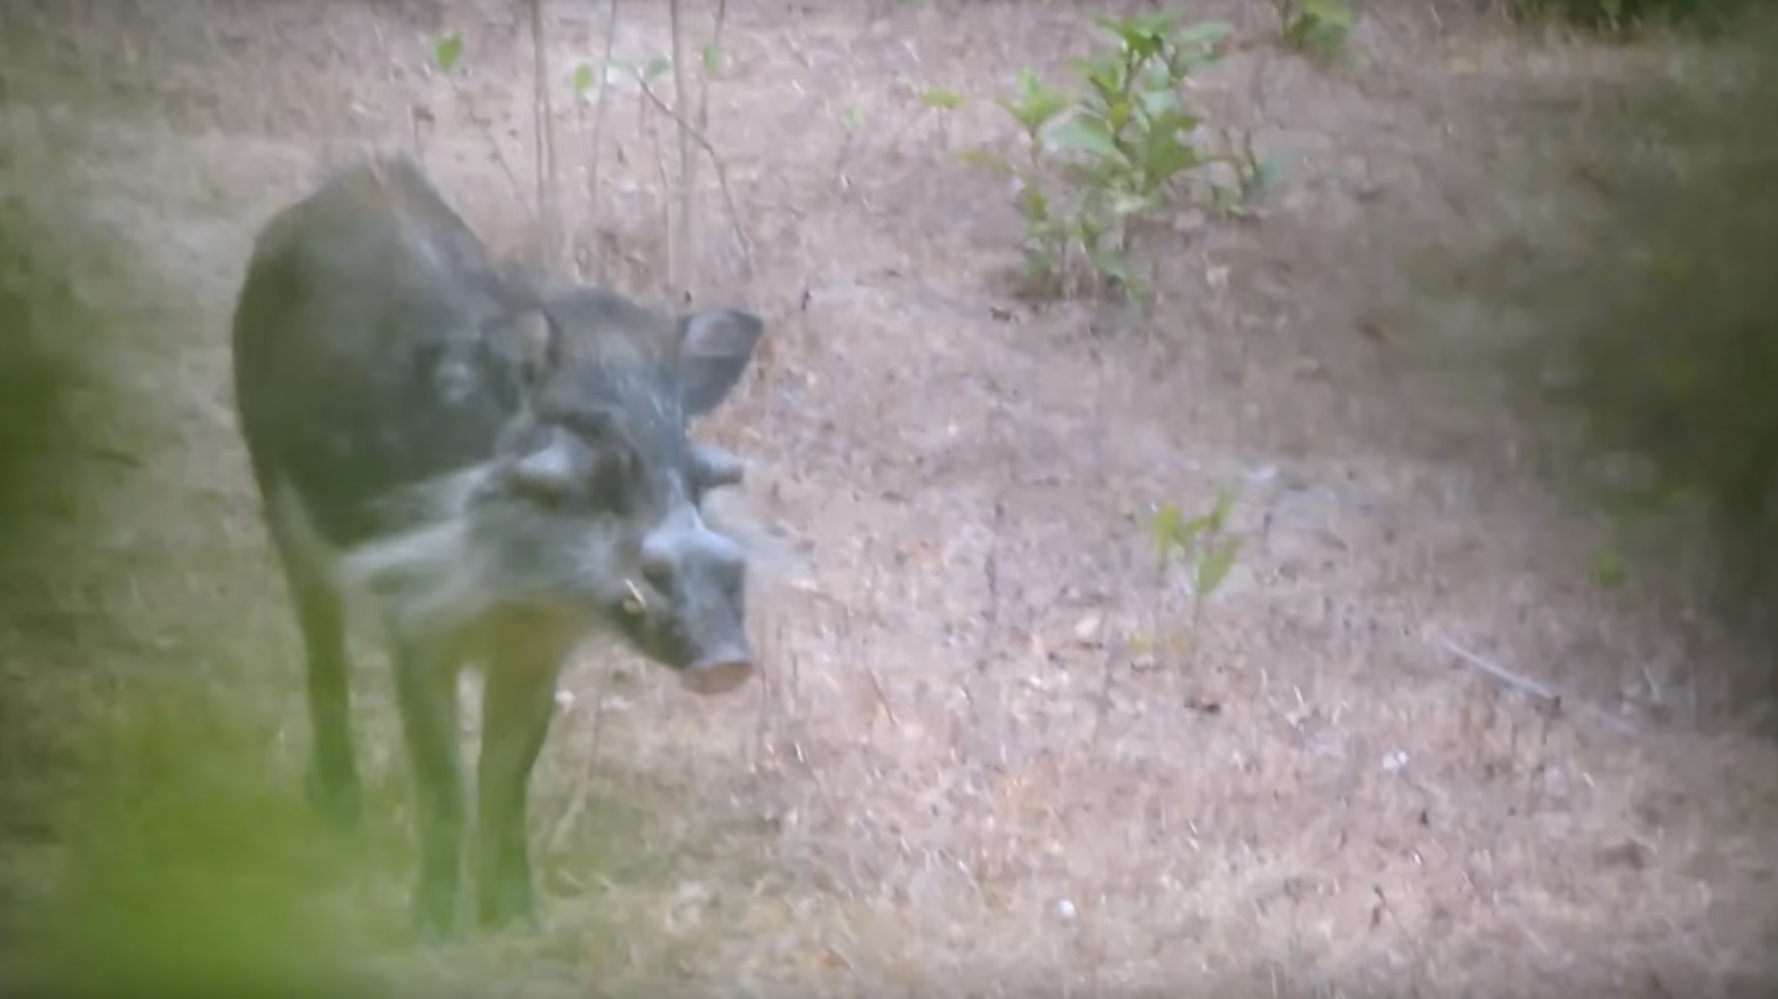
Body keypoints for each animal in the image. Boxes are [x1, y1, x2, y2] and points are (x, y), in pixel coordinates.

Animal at [228, 154, 765, 942]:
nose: (726, 661)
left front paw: (518, 918)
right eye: (592, 442)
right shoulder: (417, 623)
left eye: (689, 458)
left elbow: (509, 776)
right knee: (322, 656)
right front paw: (434, 927)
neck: (524, 594)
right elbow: (442, 776)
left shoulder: (540, 653)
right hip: (277, 495)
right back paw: (335, 809)